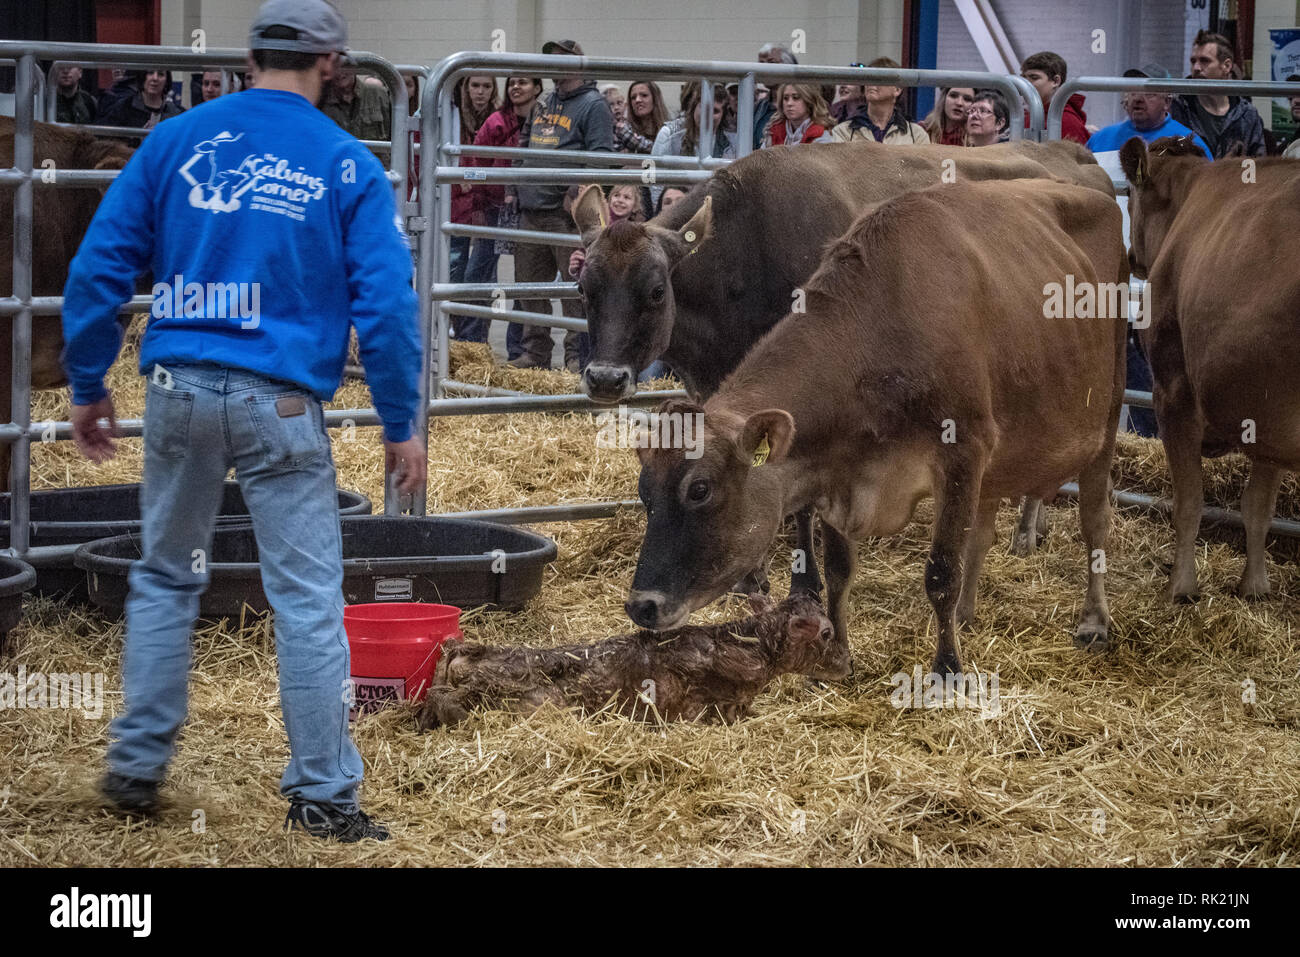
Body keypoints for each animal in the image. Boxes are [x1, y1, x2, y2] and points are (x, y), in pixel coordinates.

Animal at [622, 178, 1128, 677]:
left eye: (700, 488)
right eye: (645, 492)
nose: (641, 606)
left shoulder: (963, 451)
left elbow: (942, 571)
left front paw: (947, 670)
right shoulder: (836, 470)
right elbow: (839, 570)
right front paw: (837, 655)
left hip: (1105, 413)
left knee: (1095, 522)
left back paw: (1094, 620)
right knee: (983, 532)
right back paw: (967, 614)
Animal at [1120, 136, 1300, 601]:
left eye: (1131, 195)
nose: (1131, 256)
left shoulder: (1172, 392)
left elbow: (1189, 501)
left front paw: (1179, 587)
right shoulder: (1268, 414)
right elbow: (1258, 507)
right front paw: (1255, 587)